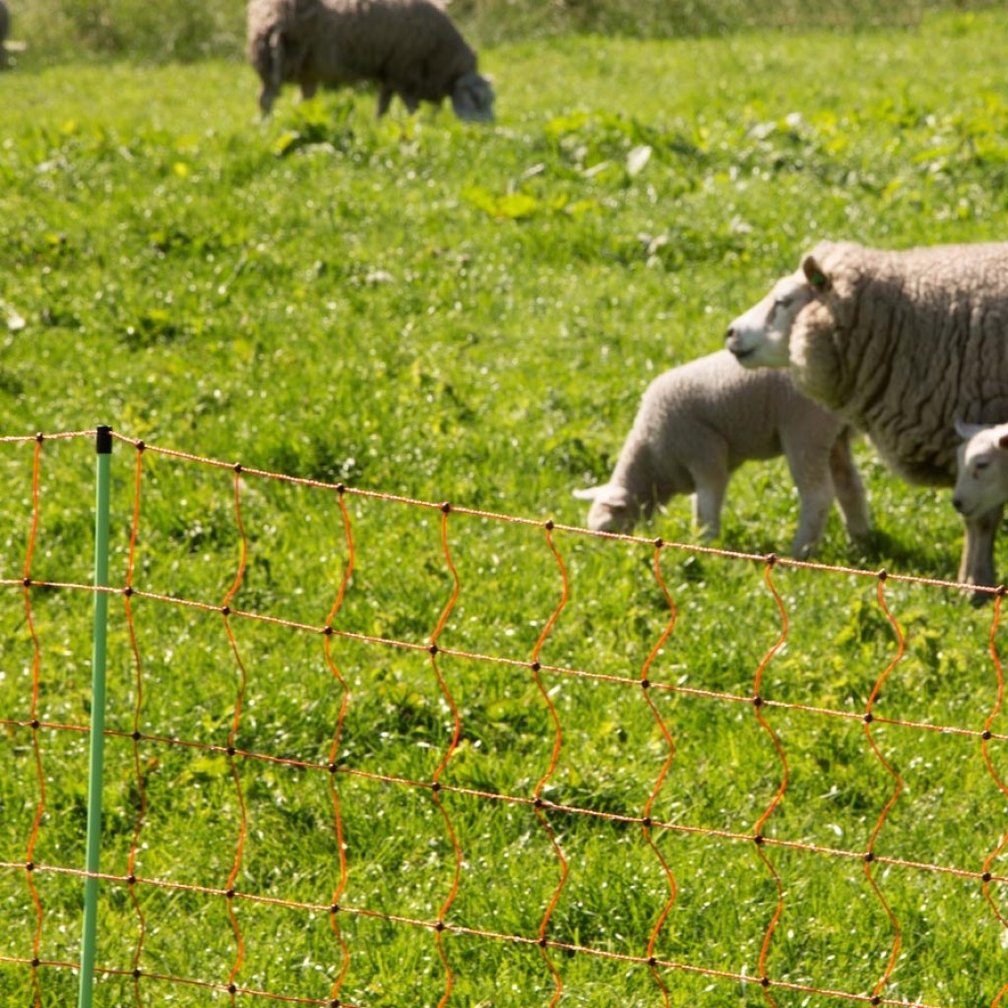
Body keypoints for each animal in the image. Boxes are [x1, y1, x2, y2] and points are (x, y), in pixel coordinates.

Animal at [246, 0, 495, 121]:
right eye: (477, 99)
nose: (488, 133)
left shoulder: (391, 72)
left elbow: (383, 104)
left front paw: (377, 125)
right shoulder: (404, 71)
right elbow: (411, 107)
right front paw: (420, 125)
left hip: (306, 68)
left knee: (304, 100)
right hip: (273, 59)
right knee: (265, 100)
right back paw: (265, 125)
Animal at [573, 349, 871, 558]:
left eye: (609, 530)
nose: (604, 558)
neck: (652, 461)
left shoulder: (704, 452)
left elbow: (707, 504)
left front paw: (705, 543)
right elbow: (699, 502)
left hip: (804, 429)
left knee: (818, 495)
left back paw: (800, 552)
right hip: (833, 436)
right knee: (850, 485)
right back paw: (861, 539)